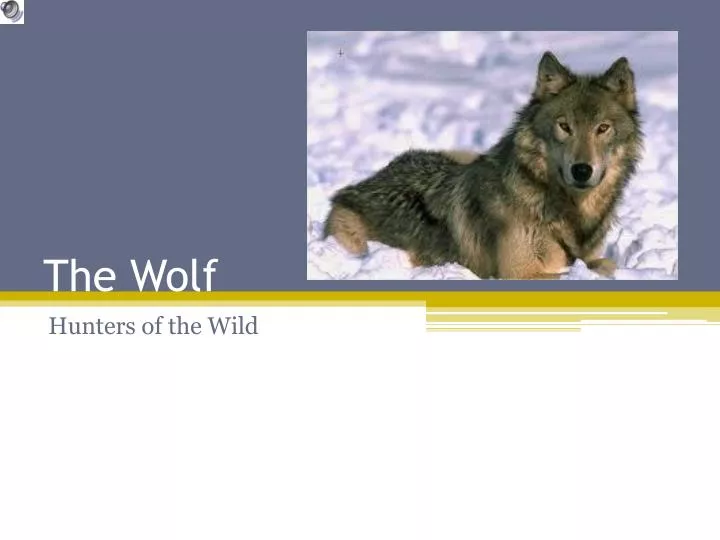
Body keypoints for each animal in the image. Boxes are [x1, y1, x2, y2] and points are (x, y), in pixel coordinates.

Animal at [322, 51, 643, 279]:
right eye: (564, 127)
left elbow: (606, 264)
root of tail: (356, 187)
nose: (582, 170)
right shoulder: (520, 274)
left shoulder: (589, 256)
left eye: (603, 128)